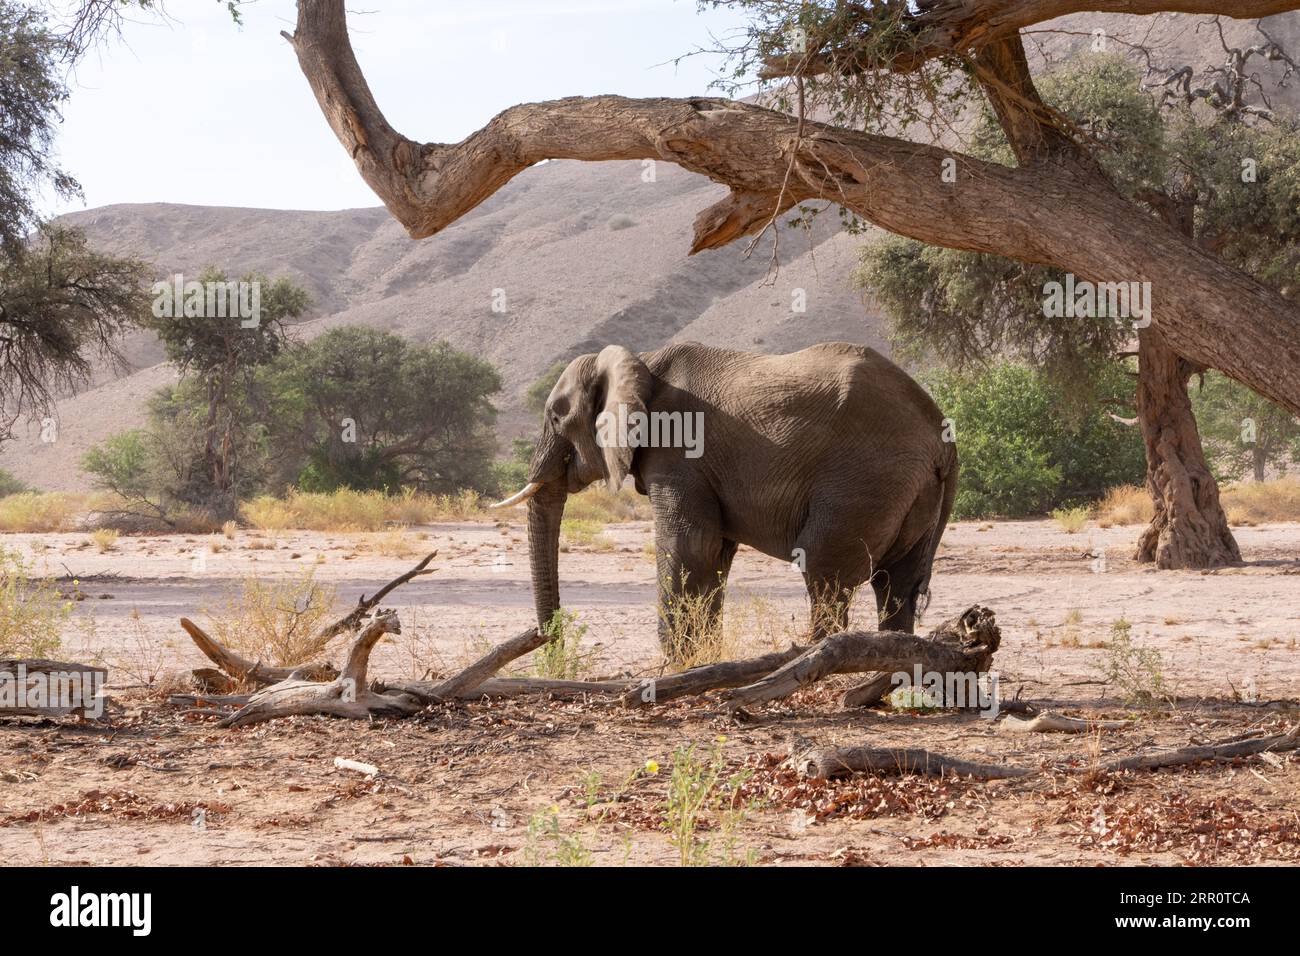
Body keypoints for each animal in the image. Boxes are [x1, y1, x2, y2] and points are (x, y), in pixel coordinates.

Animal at [494, 341, 958, 658]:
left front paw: (678, 661)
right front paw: (702, 659)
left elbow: (688, 547)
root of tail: (942, 436)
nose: (551, 645)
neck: (642, 364)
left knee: (824, 568)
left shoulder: (681, 453)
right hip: (911, 493)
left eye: (556, 416)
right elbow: (715, 554)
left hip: (864, 483)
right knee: (898, 583)